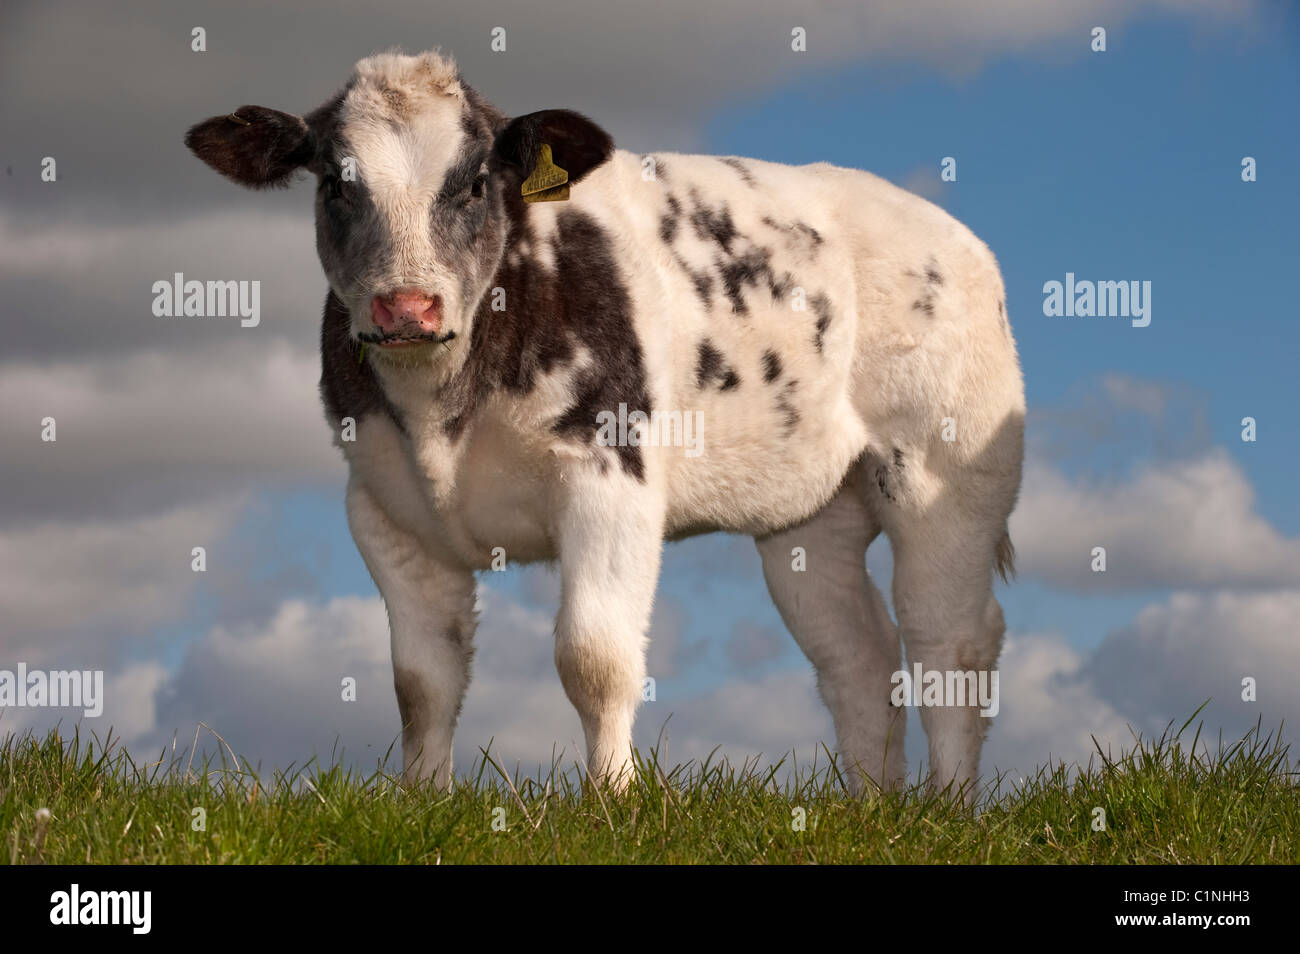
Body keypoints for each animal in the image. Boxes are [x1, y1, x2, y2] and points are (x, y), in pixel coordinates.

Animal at [185, 49, 1025, 799]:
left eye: (476, 183)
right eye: (335, 182)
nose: (406, 307)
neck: (443, 413)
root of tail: (946, 230)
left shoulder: (610, 477)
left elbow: (595, 659)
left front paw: (614, 800)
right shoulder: (382, 509)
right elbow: (423, 682)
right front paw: (421, 802)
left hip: (943, 469)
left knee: (948, 638)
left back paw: (950, 805)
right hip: (812, 513)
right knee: (856, 653)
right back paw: (872, 807)